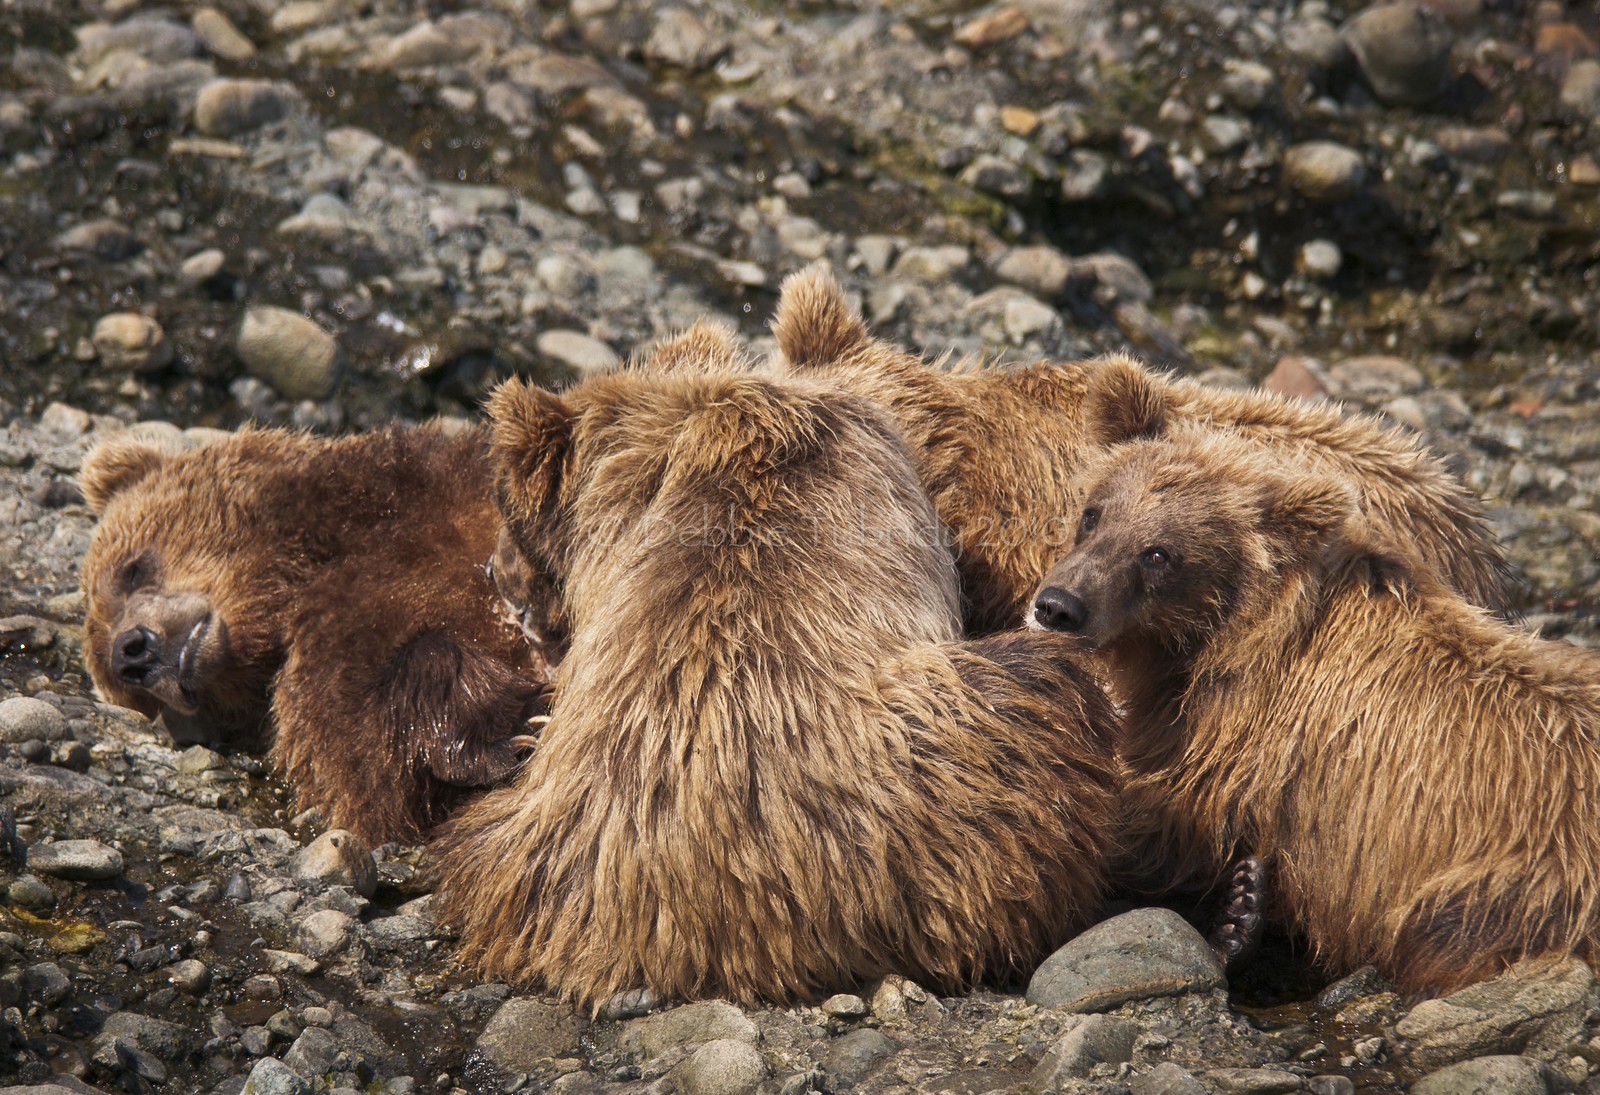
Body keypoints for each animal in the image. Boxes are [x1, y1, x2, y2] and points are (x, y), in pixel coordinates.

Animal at [80, 423, 552, 845]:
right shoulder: (322, 660)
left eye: (131, 570)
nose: (130, 653)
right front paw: (518, 730)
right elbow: (366, 763)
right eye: (110, 671)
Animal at [1029, 423, 1600, 993]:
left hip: (1516, 878)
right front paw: (1241, 908)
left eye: (1158, 553)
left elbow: (1146, 825)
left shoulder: (1232, 748)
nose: (1058, 605)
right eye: (1094, 513)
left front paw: (1238, 909)